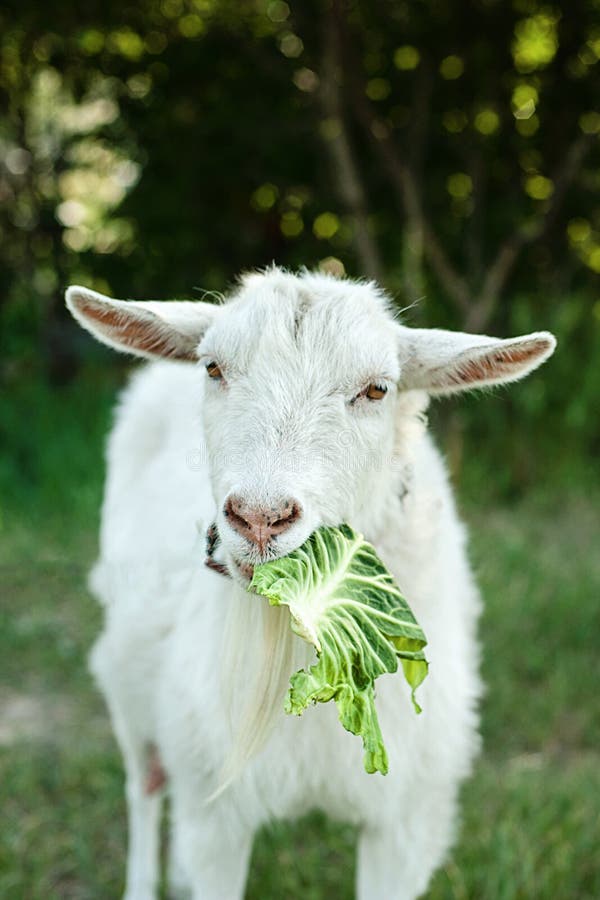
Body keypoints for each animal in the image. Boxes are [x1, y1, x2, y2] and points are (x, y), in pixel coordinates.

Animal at [66, 268, 555, 900]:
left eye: (377, 390)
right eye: (213, 369)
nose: (258, 517)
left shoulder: (405, 819)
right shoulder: (213, 812)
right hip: (128, 677)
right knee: (144, 785)